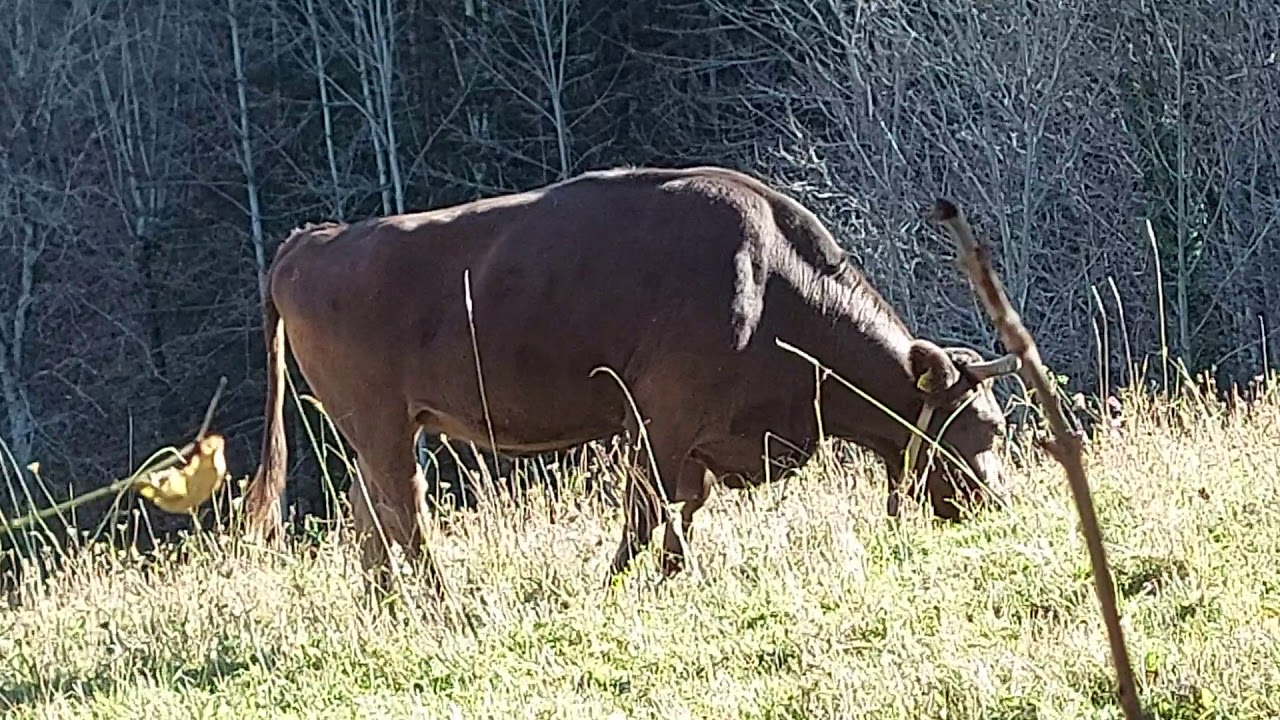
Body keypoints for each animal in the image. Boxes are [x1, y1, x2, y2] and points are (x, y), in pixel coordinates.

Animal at [240, 165, 1021, 591]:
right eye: (984, 425)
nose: (998, 502)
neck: (772, 283)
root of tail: (311, 240)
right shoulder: (662, 419)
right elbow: (648, 510)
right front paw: (620, 582)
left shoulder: (693, 437)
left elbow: (683, 506)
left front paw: (674, 574)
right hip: (382, 427)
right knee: (405, 514)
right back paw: (447, 605)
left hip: (378, 433)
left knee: (370, 515)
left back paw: (392, 606)